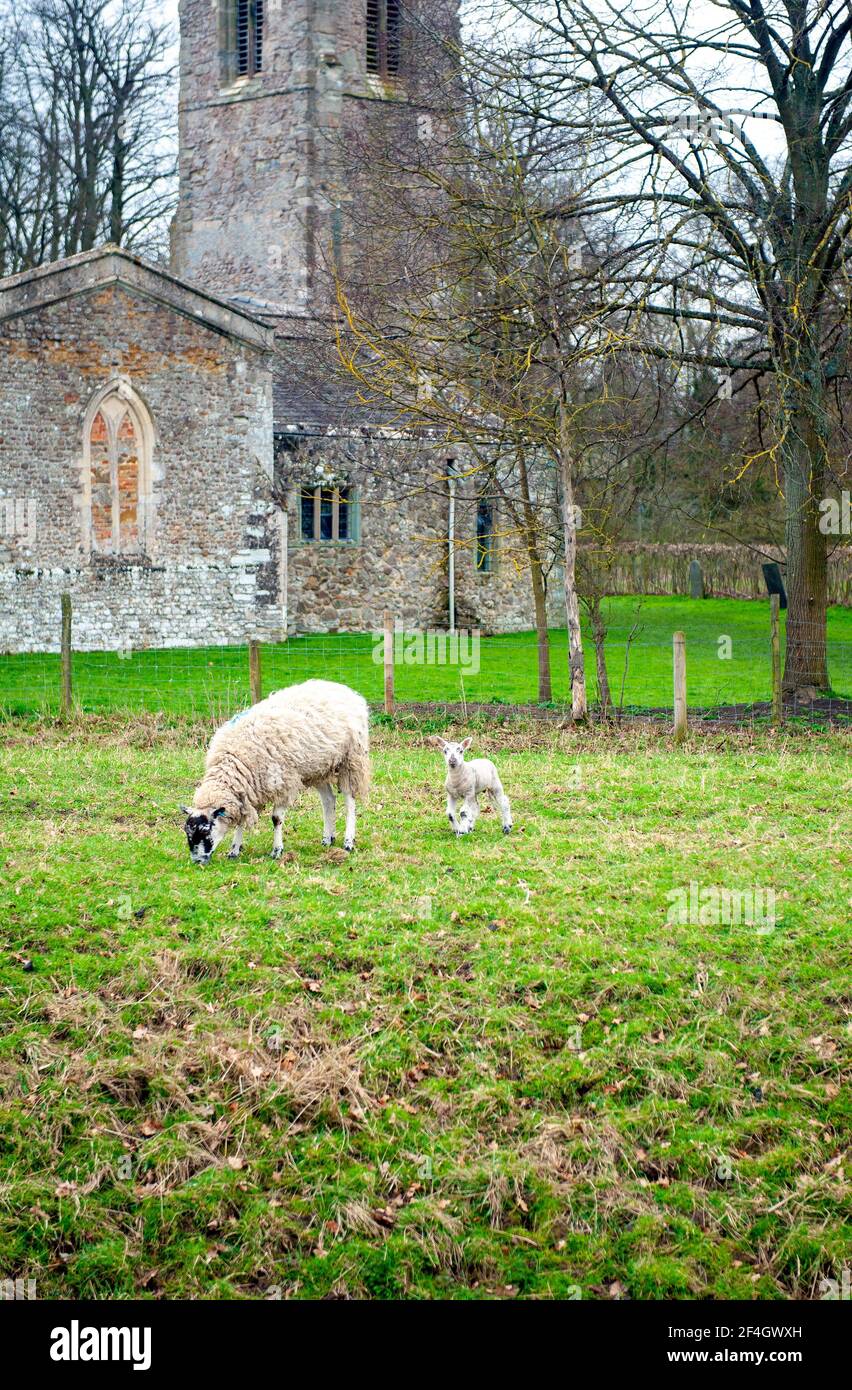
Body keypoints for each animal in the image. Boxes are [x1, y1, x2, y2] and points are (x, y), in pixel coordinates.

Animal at [181, 679, 370, 865]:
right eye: (187, 832)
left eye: (205, 831)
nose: (197, 861)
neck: (235, 761)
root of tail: (344, 689)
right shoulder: (247, 791)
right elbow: (243, 819)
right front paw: (234, 850)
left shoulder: (283, 784)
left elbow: (276, 819)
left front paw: (277, 850)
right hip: (318, 768)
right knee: (329, 801)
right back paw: (327, 839)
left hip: (351, 760)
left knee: (349, 801)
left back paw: (348, 842)